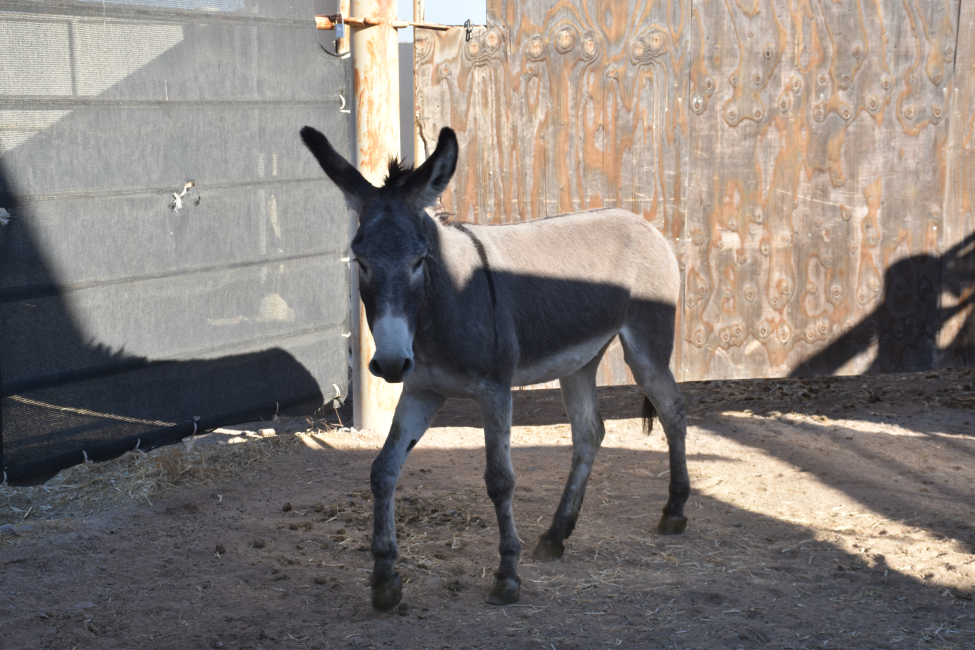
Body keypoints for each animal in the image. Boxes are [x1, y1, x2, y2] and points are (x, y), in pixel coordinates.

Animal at [300, 125, 689, 611]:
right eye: (361, 262)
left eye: (419, 260)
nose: (389, 363)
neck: (440, 306)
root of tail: (640, 220)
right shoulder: (423, 391)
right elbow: (383, 470)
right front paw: (385, 578)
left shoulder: (494, 389)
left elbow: (500, 480)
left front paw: (507, 576)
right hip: (579, 362)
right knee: (589, 433)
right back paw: (555, 535)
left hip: (645, 349)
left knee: (673, 411)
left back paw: (674, 512)